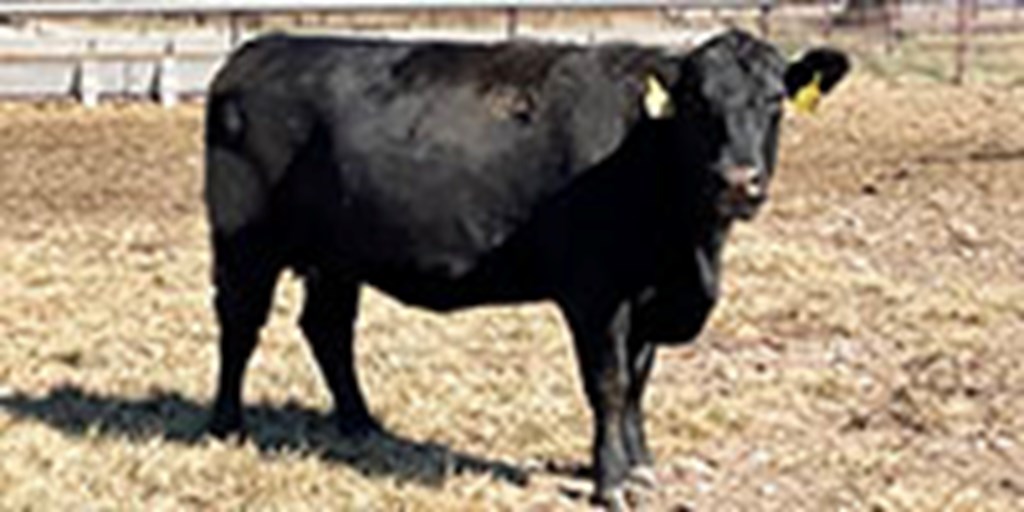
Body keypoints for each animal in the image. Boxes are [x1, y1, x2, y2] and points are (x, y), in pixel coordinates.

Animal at [202, 29, 849, 508]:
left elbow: (639, 383)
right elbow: (609, 385)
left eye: (774, 101)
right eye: (697, 104)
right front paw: (610, 482)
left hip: (338, 256)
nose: (738, 181)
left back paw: (361, 423)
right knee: (240, 326)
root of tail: (262, 47)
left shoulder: (647, 296)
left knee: (328, 329)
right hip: (243, 241)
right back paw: (227, 426)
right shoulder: (597, 294)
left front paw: (640, 467)